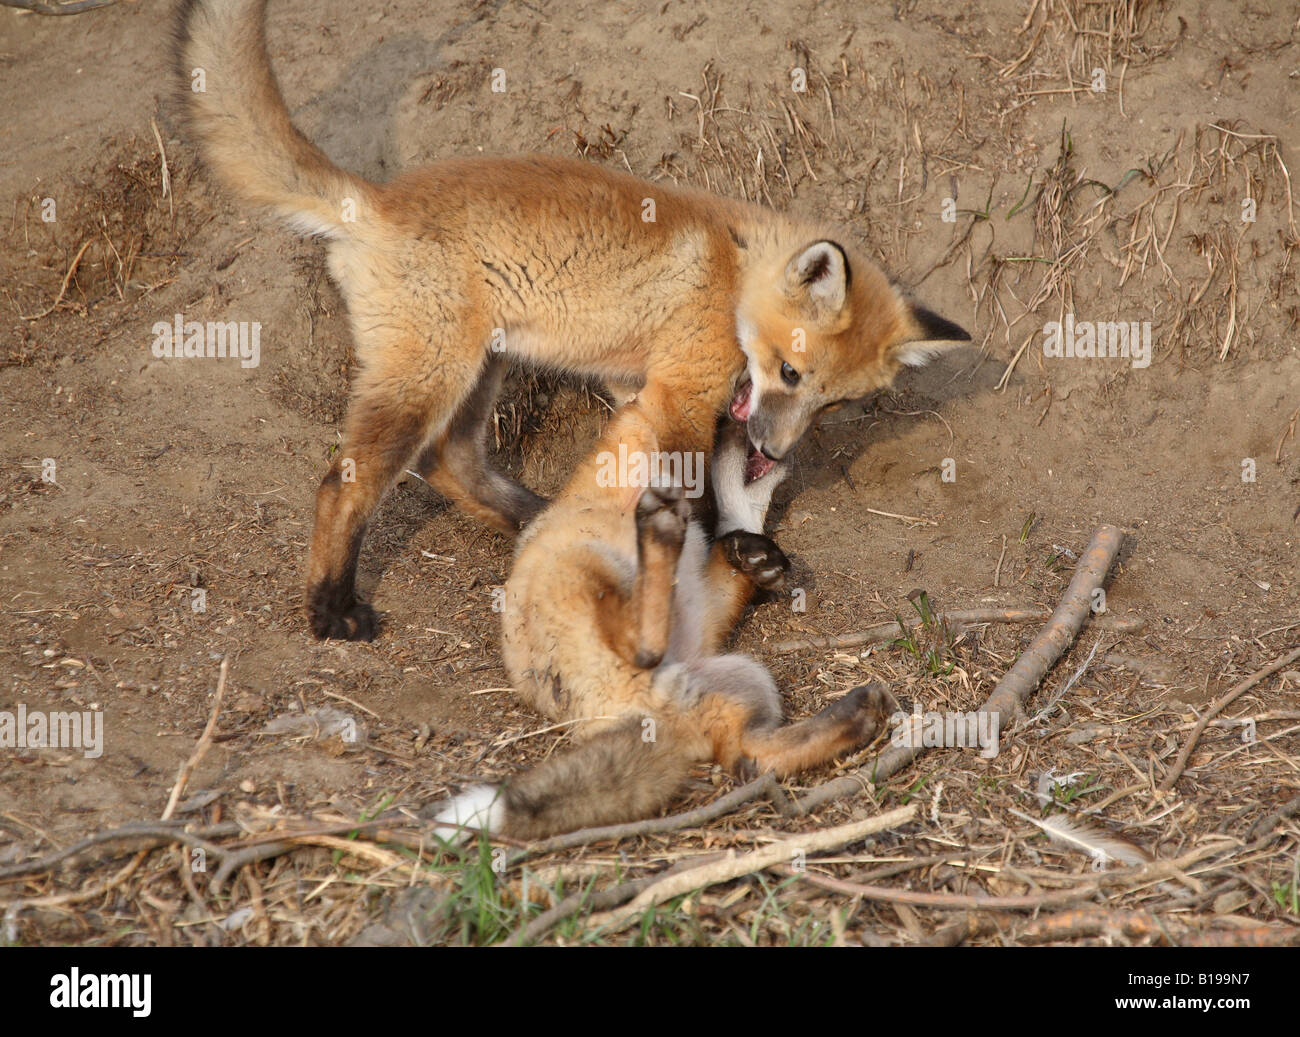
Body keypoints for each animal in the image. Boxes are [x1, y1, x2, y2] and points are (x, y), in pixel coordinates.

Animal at [174, 0, 970, 642]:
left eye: (830, 403)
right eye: (790, 371)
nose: (774, 449)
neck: (733, 268)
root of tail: (375, 201)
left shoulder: (640, 387)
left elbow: (708, 488)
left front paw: (741, 550)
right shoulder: (682, 391)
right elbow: (693, 493)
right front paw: (708, 559)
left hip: (482, 368)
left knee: (449, 461)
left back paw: (536, 518)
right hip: (429, 376)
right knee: (343, 484)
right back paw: (332, 609)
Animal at [430, 411, 897, 840]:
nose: (731, 420)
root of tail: (629, 717)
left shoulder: (705, 613)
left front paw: (751, 556)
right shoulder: (626, 446)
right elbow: (640, 422)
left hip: (744, 680)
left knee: (752, 757)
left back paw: (859, 714)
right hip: (588, 568)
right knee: (643, 645)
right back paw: (658, 533)